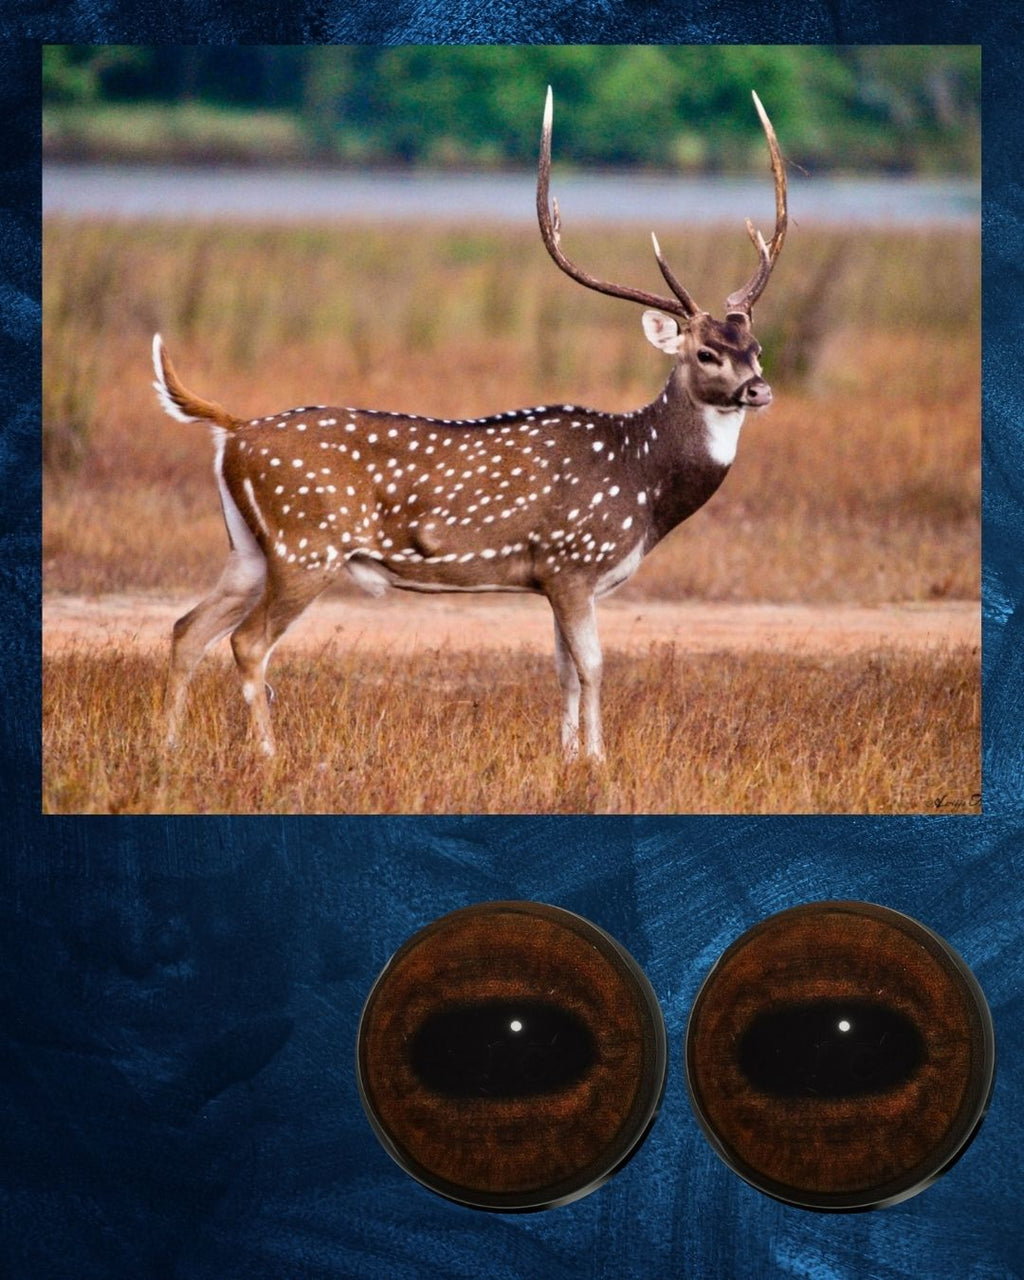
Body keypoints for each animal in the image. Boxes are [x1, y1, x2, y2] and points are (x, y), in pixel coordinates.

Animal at [153, 88, 787, 762]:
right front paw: (598, 759)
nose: (758, 389)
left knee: (187, 628)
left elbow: (564, 669)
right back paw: (269, 753)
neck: (643, 485)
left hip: (249, 548)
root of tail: (233, 431)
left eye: (756, 348)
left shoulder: (552, 577)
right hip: (306, 544)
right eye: (706, 354)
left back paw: (168, 746)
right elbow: (592, 665)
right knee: (246, 643)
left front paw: (567, 756)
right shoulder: (572, 560)